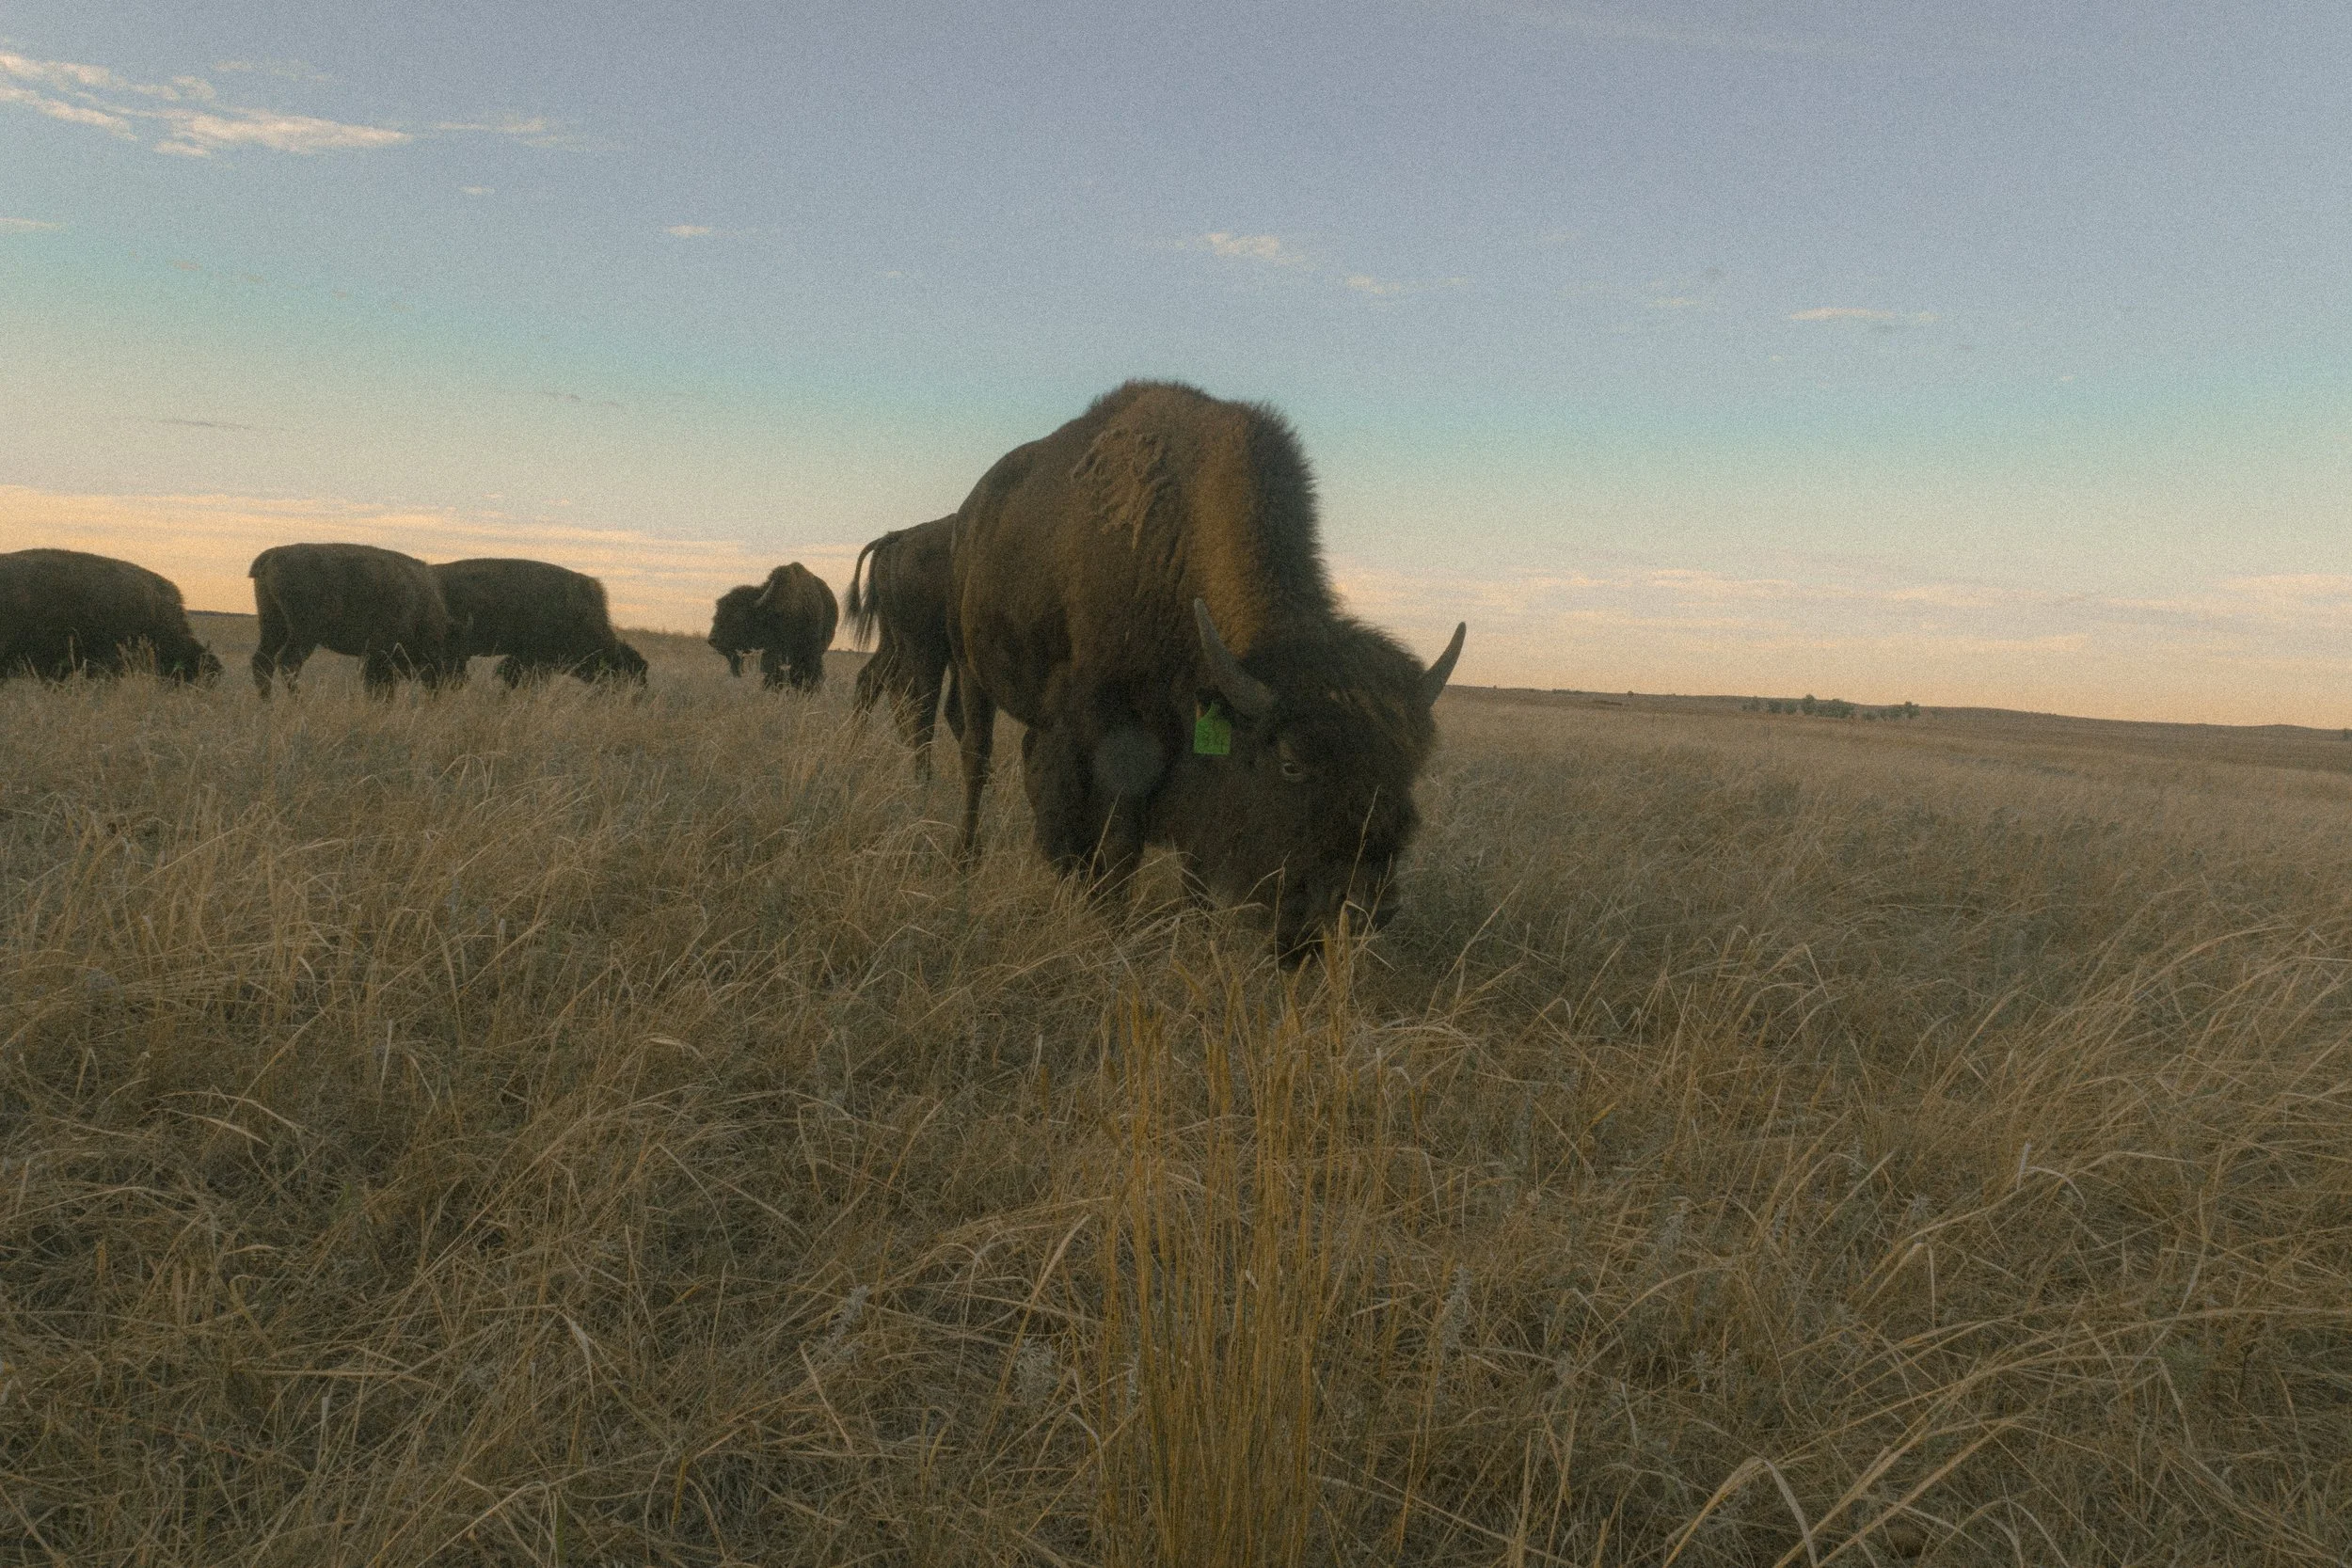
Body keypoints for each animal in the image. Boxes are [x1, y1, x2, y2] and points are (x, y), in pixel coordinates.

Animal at [250, 542, 455, 697]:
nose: (436, 693)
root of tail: (272, 555)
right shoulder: (379, 653)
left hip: (274, 626)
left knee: (263, 661)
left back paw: (268, 706)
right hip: (304, 634)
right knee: (288, 662)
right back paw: (299, 704)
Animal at [947, 380, 1464, 961]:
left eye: (1408, 767)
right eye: (1290, 763)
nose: (1365, 906)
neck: (1175, 542)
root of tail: (972, 512)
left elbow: (1193, 853)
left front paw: (1194, 925)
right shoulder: (1114, 725)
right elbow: (1122, 838)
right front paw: (1112, 925)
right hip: (970, 669)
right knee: (977, 760)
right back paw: (968, 861)